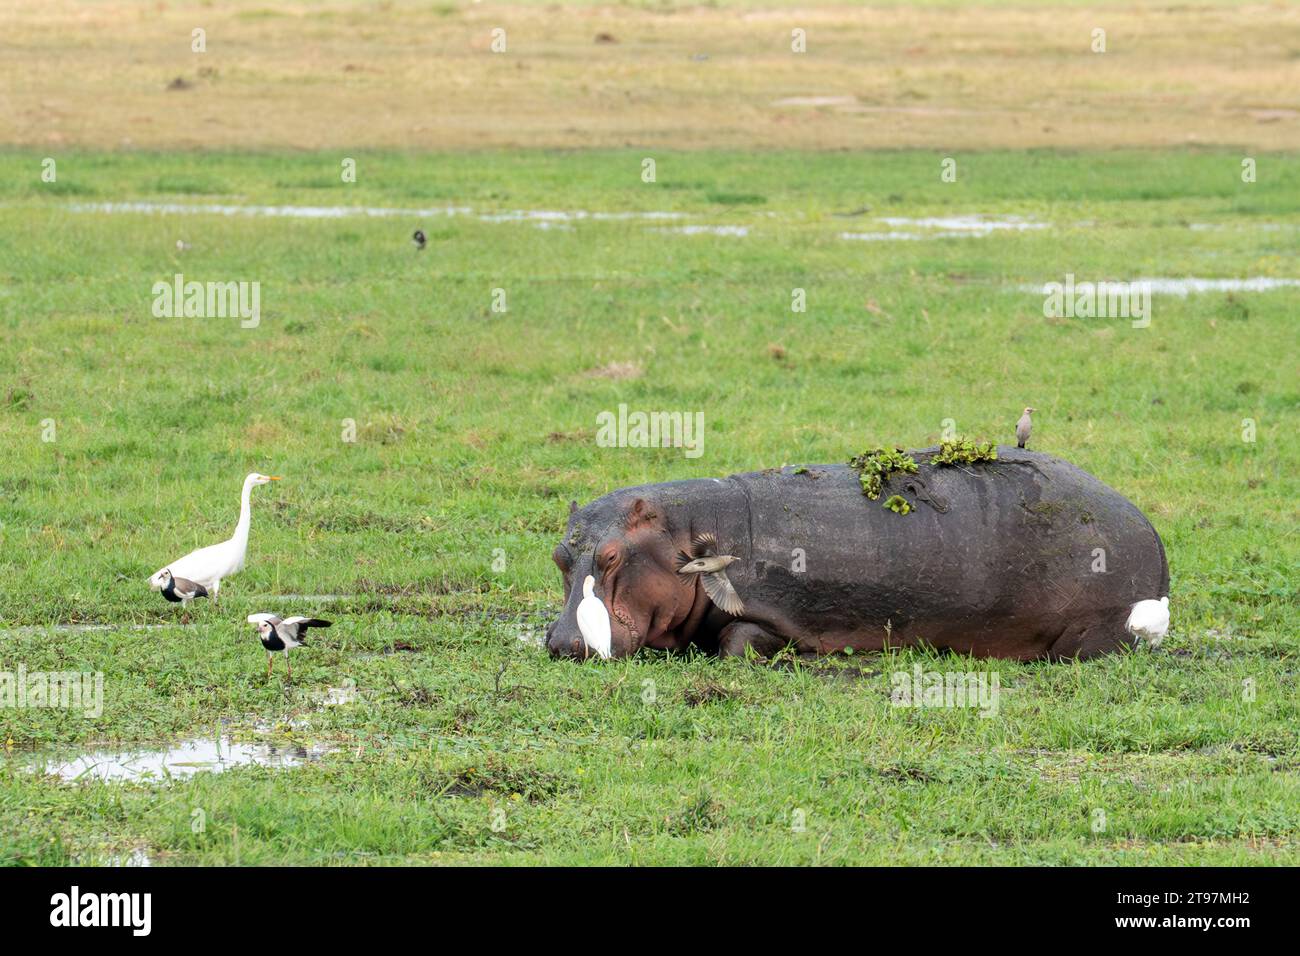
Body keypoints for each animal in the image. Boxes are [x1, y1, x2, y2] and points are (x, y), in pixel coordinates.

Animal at [545, 447, 1168, 661]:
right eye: (558, 555)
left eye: (611, 557)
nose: (561, 643)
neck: (692, 530)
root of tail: (1150, 530)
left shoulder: (774, 614)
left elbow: (737, 641)